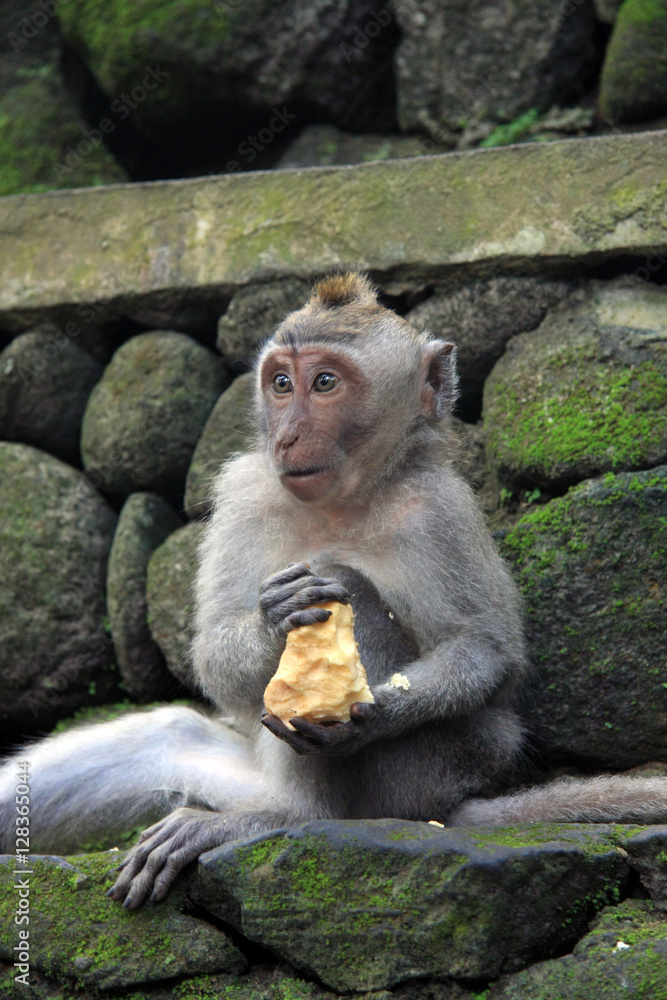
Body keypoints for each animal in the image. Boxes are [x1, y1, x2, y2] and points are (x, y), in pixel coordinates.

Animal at [2, 272, 667, 910]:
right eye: (280, 383)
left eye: (324, 383)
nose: (288, 436)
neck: (343, 501)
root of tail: (446, 805)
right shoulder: (246, 490)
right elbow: (214, 651)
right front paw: (271, 621)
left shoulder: (441, 507)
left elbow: (486, 653)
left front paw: (373, 715)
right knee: (168, 734)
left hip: (431, 769)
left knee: (346, 587)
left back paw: (289, 818)